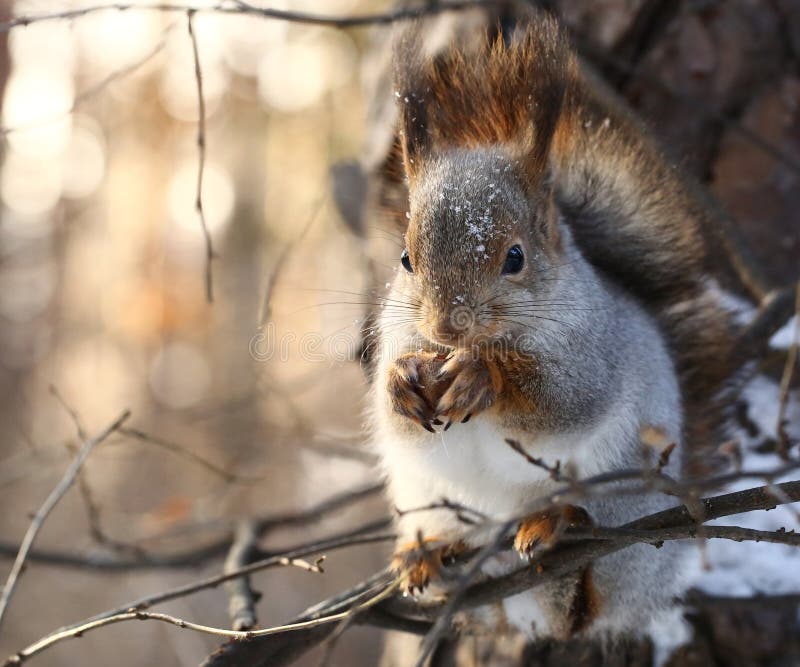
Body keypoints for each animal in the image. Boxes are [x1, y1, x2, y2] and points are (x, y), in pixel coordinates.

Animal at [368, 11, 743, 651]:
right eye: (405, 259)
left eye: (515, 258)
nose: (447, 326)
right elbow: (394, 415)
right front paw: (402, 382)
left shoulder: (594, 351)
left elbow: (562, 403)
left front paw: (482, 377)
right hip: (424, 495)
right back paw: (429, 554)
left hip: (624, 488)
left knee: (589, 568)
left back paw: (558, 523)